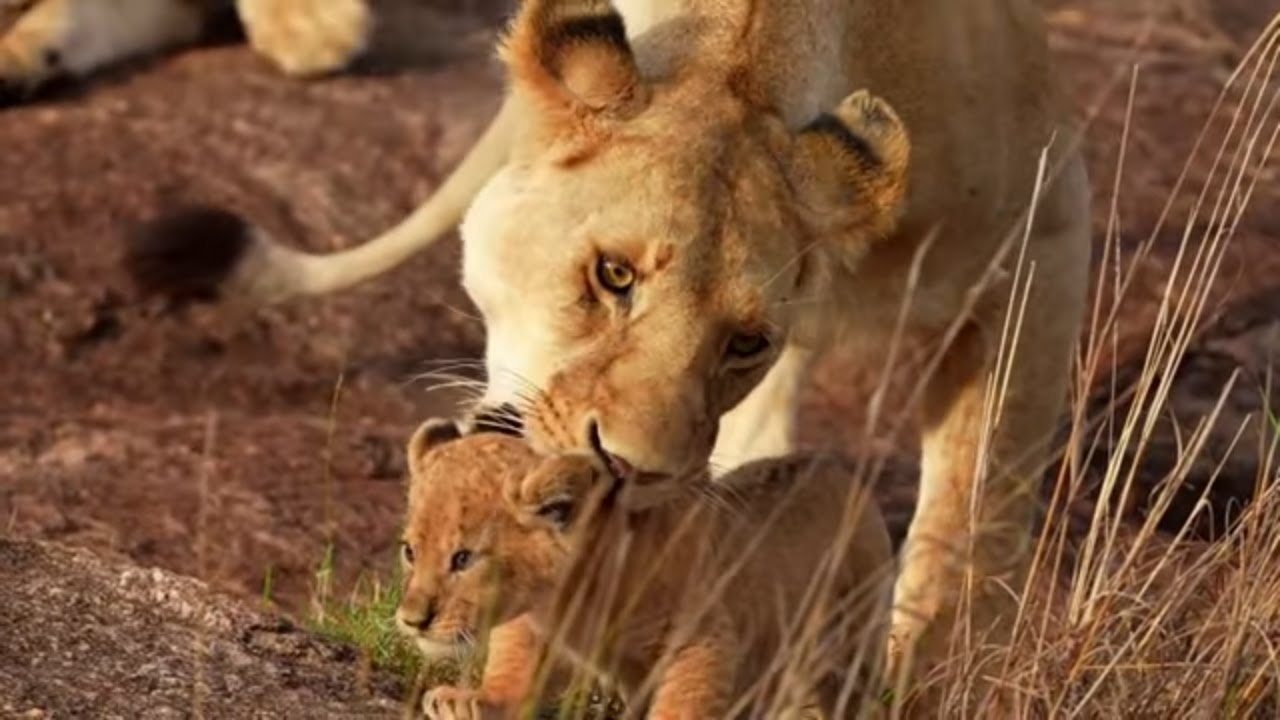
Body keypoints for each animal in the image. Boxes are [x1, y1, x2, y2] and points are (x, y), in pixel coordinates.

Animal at [396, 418, 895, 719]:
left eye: (463, 559)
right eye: (409, 552)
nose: (411, 621)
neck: (571, 597)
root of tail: (834, 465)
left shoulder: (703, 639)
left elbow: (683, 703)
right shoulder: (533, 626)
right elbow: (515, 667)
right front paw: (475, 701)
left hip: (854, 648)